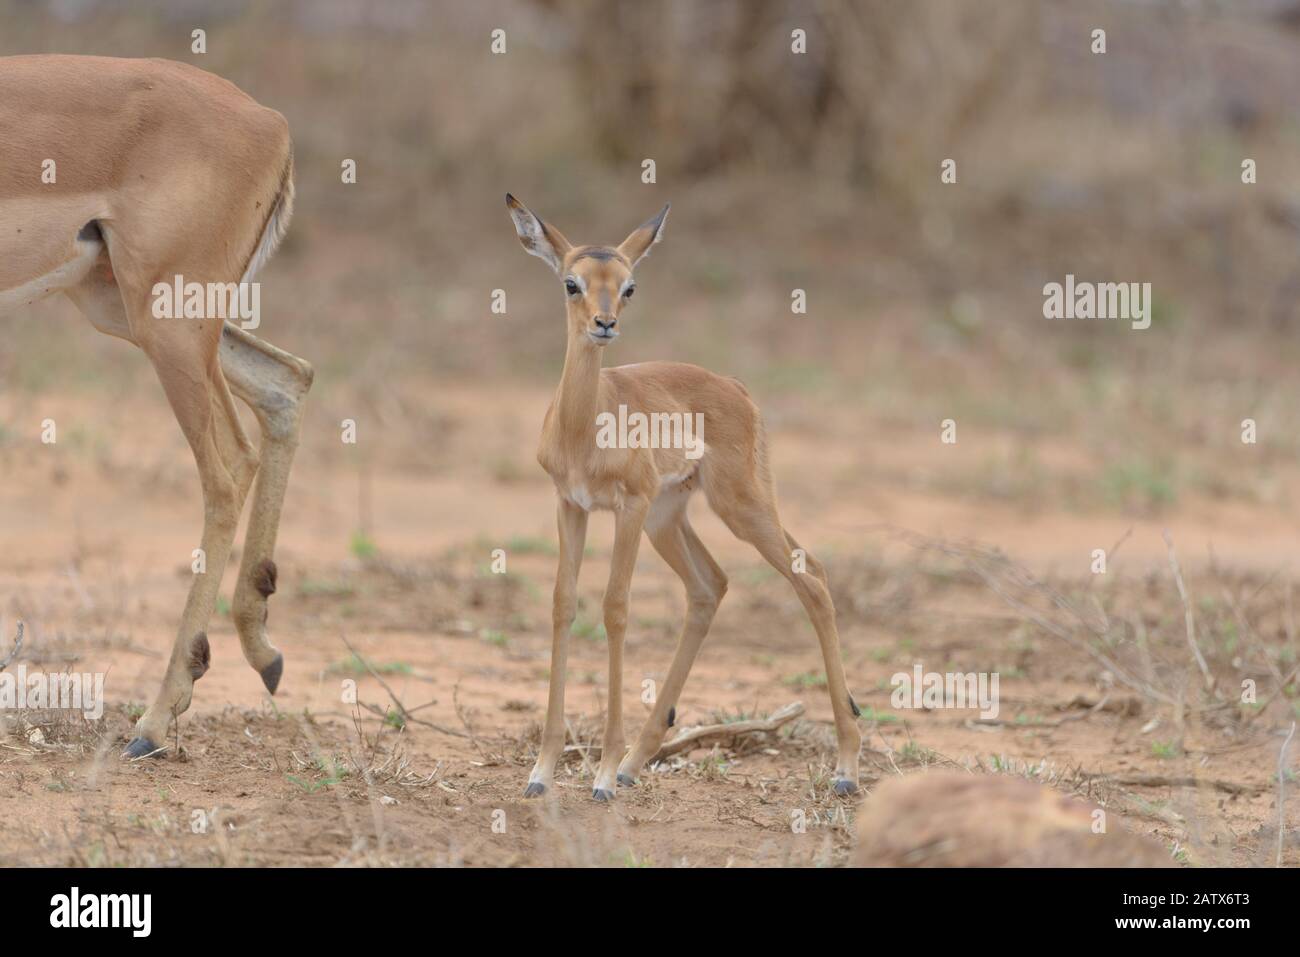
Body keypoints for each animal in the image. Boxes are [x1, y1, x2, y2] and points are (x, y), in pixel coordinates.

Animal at [0, 55, 313, 758]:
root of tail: (271, 122)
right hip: (128, 308)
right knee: (288, 382)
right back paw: (263, 650)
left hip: (166, 325)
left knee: (229, 469)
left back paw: (154, 720)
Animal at [506, 195, 862, 800]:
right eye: (572, 283)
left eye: (629, 287)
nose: (605, 324)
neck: (585, 426)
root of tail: (736, 387)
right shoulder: (571, 505)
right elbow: (562, 604)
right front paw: (542, 774)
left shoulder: (628, 506)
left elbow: (616, 608)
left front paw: (600, 776)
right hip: (670, 517)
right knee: (709, 586)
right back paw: (635, 761)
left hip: (737, 505)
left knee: (811, 576)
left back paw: (845, 768)